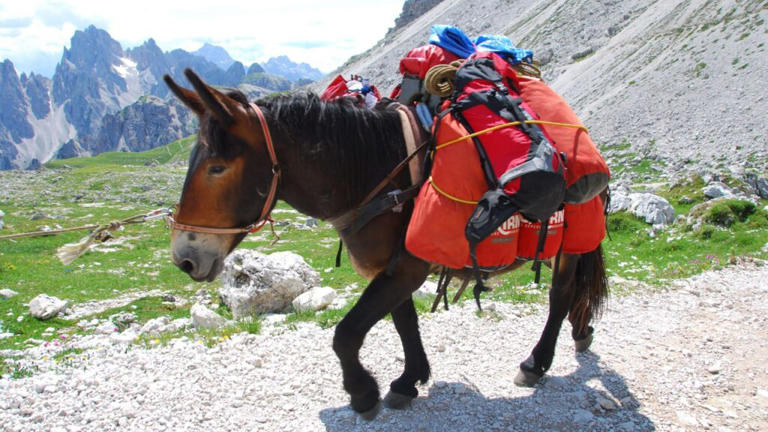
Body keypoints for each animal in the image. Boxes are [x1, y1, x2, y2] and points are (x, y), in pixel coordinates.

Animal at [164, 69, 608, 419]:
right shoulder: (392, 269)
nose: (184, 257)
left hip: (571, 246)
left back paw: (536, 363)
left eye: (217, 167)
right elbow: (403, 322)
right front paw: (409, 380)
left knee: (560, 296)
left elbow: (346, 333)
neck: (378, 172)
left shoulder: (406, 268)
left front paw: (363, 393)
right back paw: (581, 331)